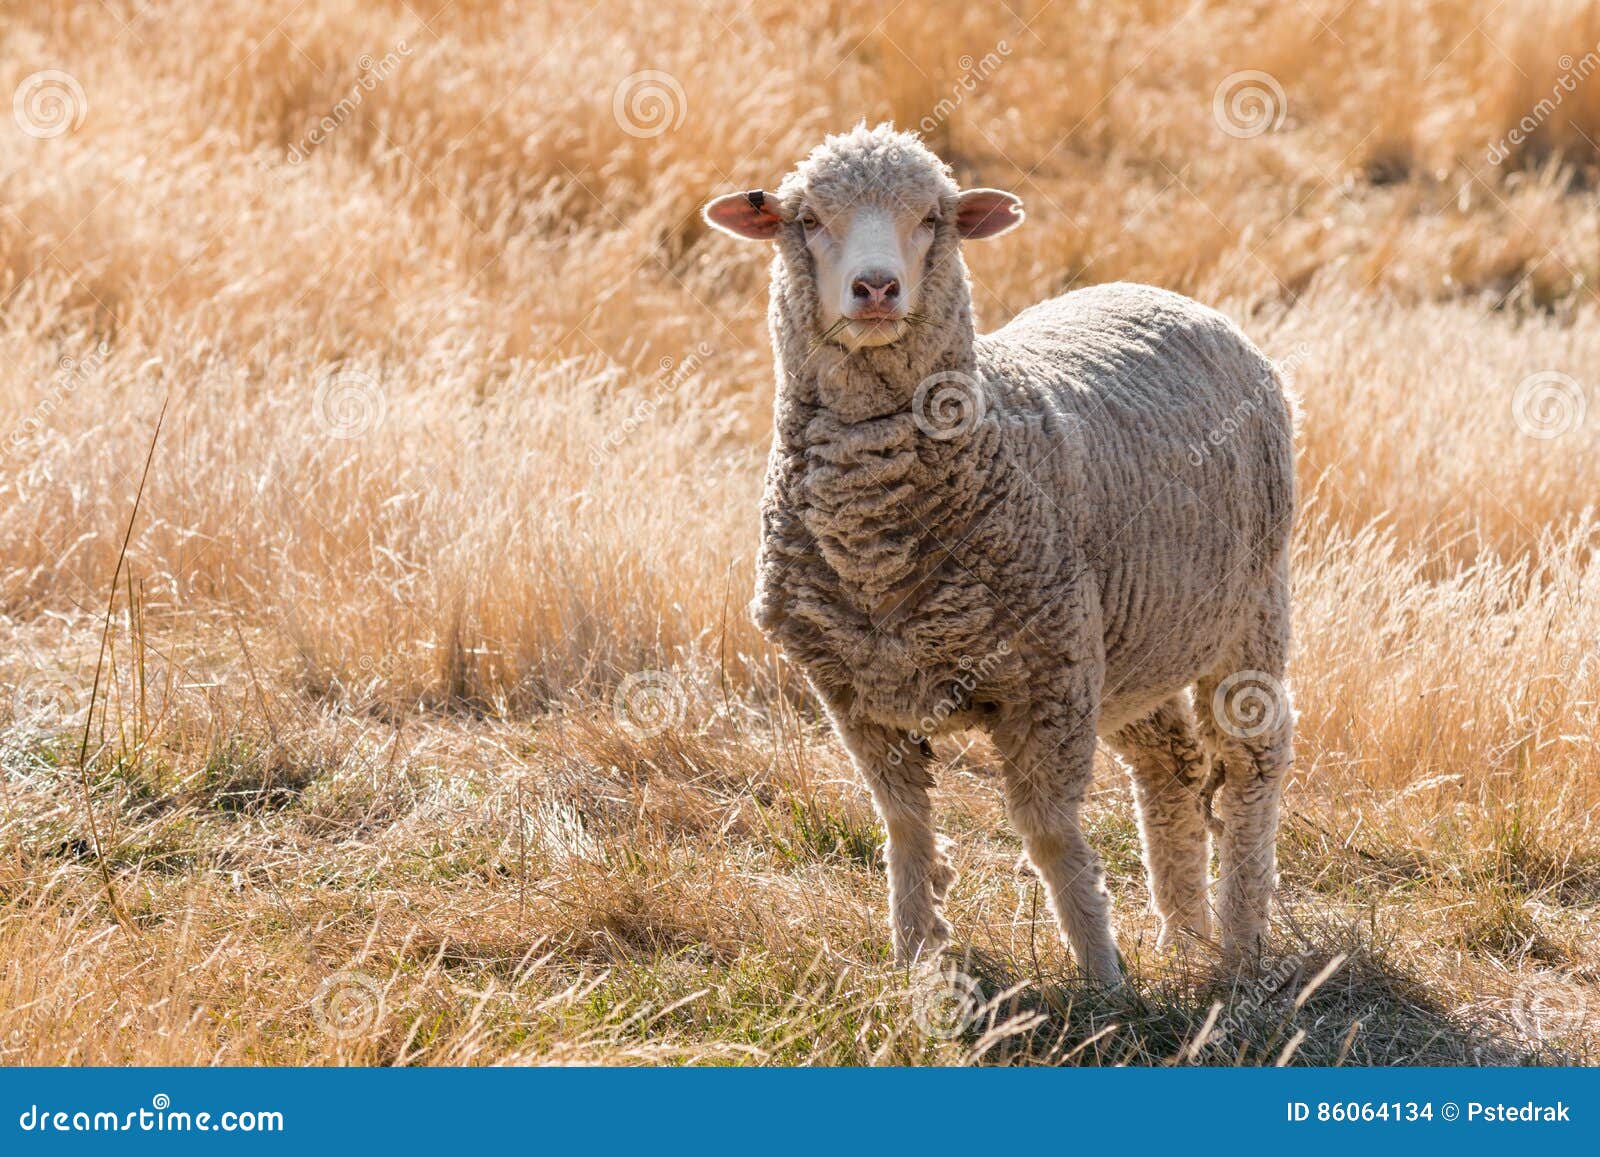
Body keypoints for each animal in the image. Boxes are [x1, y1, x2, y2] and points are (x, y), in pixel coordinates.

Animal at [703, 124, 1295, 985]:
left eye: (932, 219)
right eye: (807, 219)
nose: (875, 289)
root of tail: (1167, 295)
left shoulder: (1050, 678)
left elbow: (1048, 830)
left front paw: (1103, 977)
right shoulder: (851, 690)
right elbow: (904, 826)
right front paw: (914, 956)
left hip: (1251, 607)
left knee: (1252, 763)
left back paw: (1240, 942)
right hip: (1133, 645)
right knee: (1173, 766)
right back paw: (1183, 935)